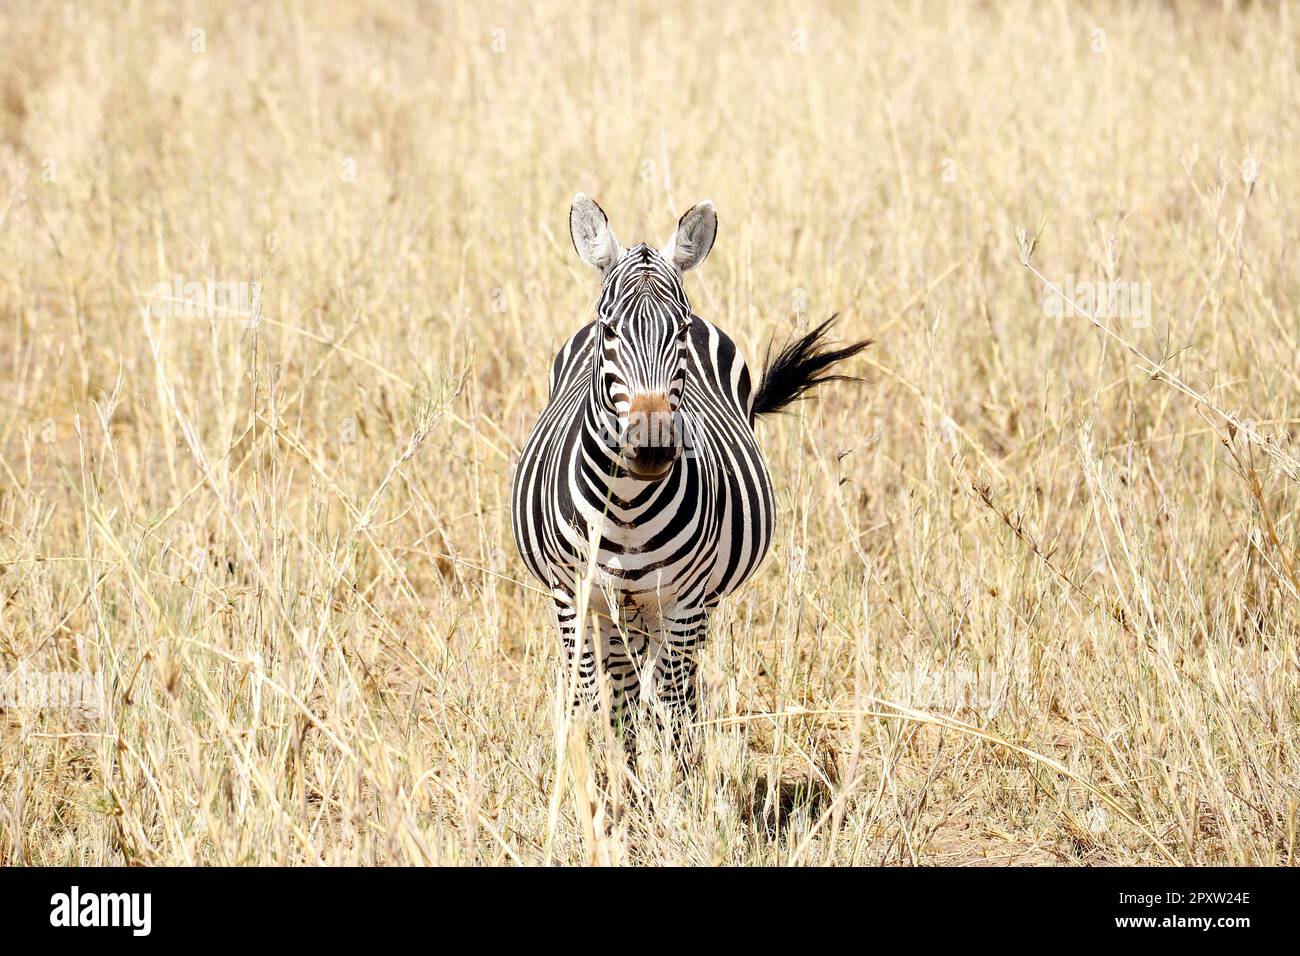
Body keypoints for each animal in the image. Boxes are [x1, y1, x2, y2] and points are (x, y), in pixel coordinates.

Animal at [511, 193, 870, 751]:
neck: (627, 507)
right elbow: (589, 707)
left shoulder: (683, 602)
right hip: (619, 610)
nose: (652, 447)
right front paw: (601, 774)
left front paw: (675, 775)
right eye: (608, 330)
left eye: (679, 330)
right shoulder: (574, 598)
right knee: (622, 689)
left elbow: (676, 708)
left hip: (686, 604)